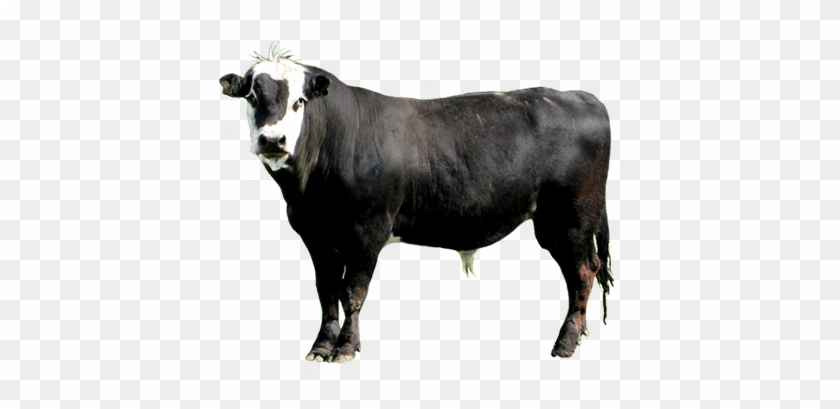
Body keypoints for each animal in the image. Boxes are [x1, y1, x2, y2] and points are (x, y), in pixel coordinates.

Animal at [219, 47, 614, 363]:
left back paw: (565, 342)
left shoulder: (368, 232)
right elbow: (327, 293)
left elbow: (352, 294)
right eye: (252, 97)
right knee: (583, 271)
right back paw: (579, 334)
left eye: (299, 101)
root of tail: (581, 96)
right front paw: (320, 347)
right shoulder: (316, 237)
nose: (273, 139)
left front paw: (345, 348)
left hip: (571, 218)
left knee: (582, 273)